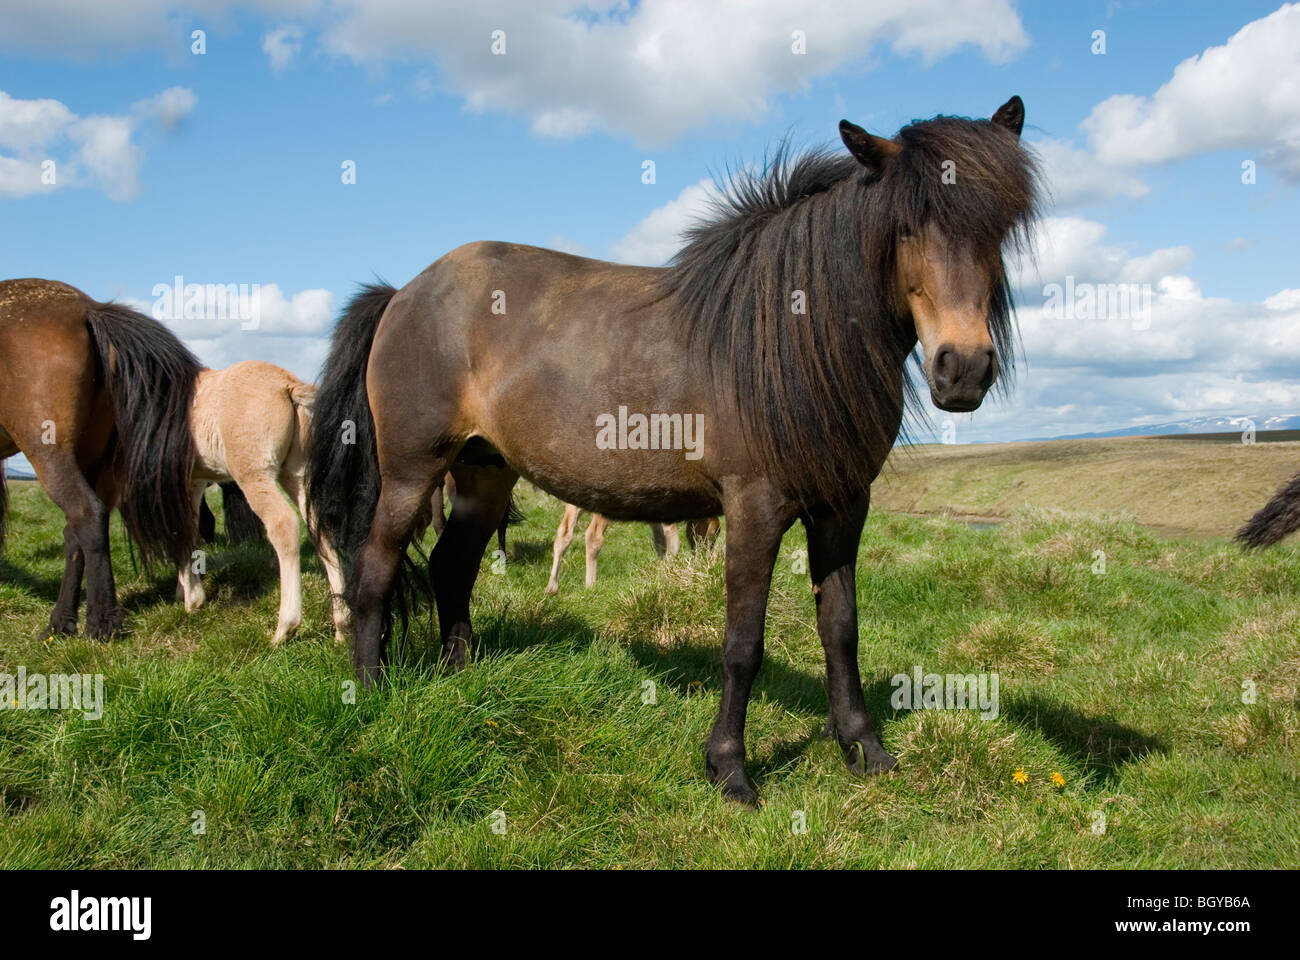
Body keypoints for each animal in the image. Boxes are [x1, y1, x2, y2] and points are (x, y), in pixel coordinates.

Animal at [0, 278, 200, 637]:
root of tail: (88, 309)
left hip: (50, 450)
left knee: (87, 514)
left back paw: (100, 622)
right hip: (94, 456)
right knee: (75, 533)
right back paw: (61, 622)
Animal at [176, 360, 349, 645]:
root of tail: (286, 384)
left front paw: (190, 599)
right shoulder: (193, 482)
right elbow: (188, 531)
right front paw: (189, 594)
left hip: (255, 474)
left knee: (283, 524)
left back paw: (284, 629)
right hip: (296, 473)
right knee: (320, 530)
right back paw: (342, 627)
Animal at [544, 503, 719, 594]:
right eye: (716, 533)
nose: (707, 561)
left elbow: (659, 541)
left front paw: (658, 571)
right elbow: (673, 544)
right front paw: (667, 574)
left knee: (563, 534)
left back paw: (551, 587)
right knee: (593, 535)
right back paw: (590, 585)